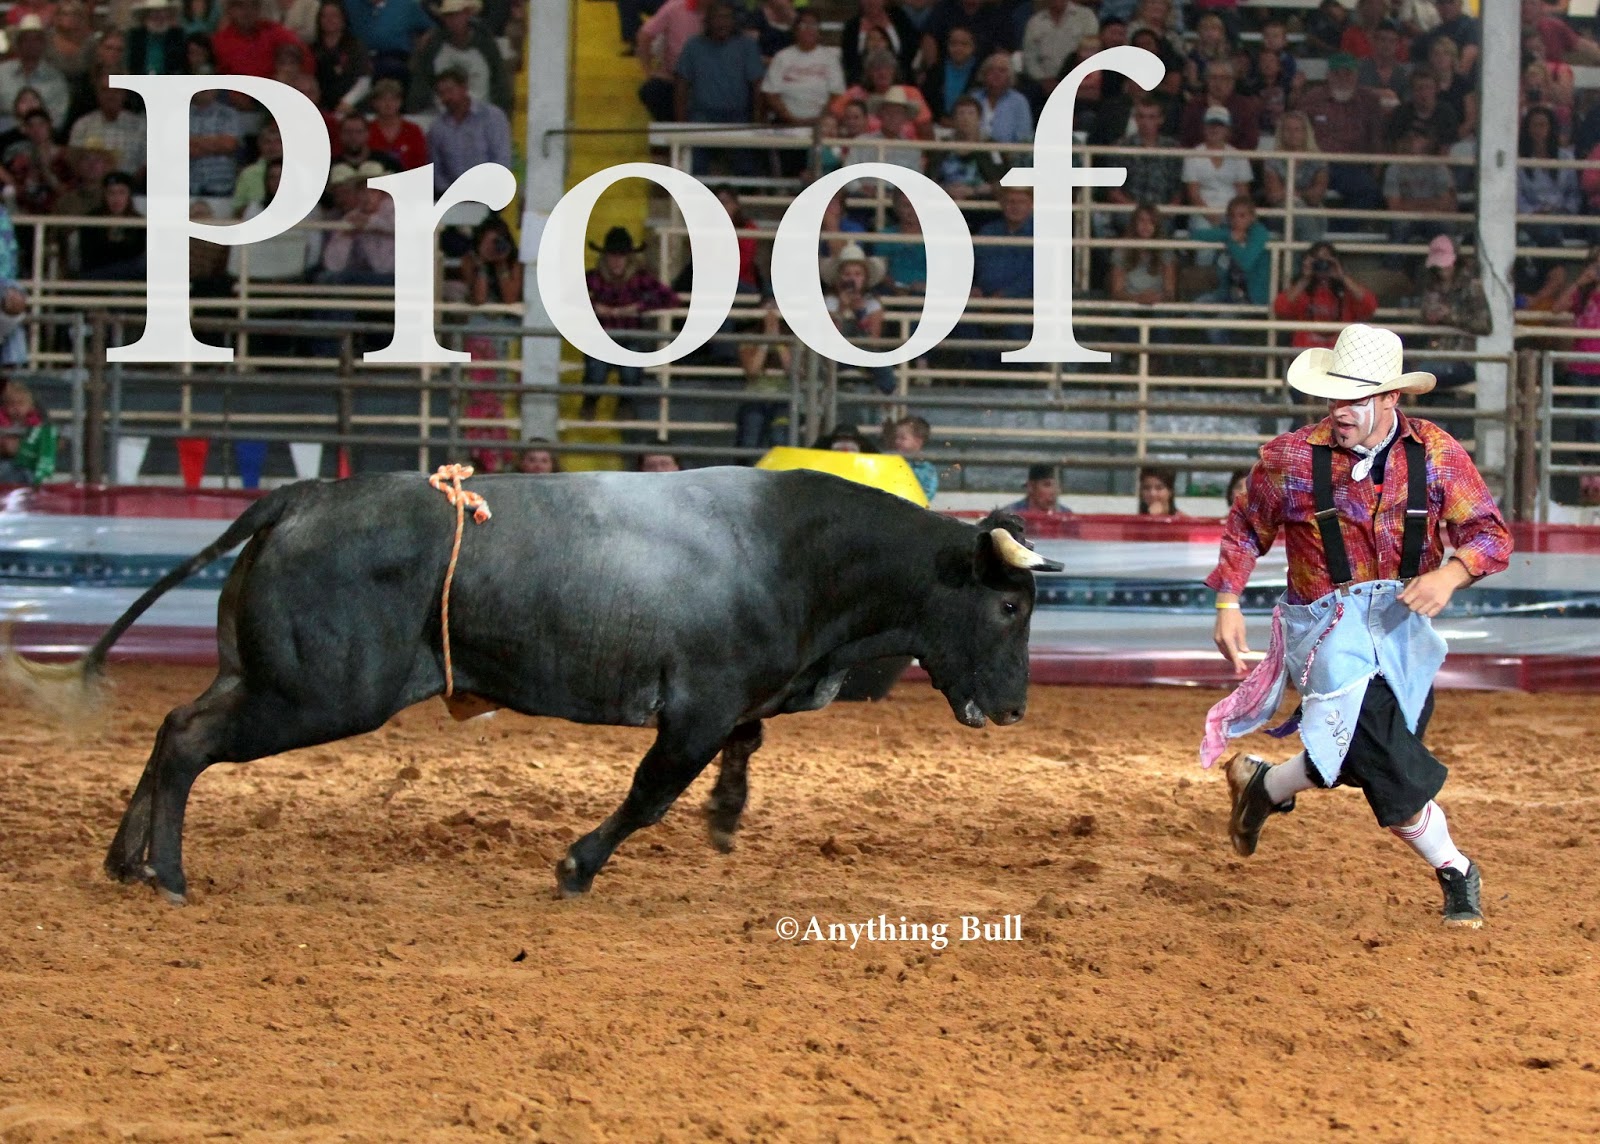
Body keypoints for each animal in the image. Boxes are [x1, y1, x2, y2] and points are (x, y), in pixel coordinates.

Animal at [6, 467, 1062, 904]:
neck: (802, 551)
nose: (1016, 706)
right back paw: (170, 875)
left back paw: (126, 862)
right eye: (1012, 608)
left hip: (262, 674)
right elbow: (650, 795)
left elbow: (745, 746)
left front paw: (726, 816)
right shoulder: (695, 708)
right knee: (188, 740)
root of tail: (303, 498)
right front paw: (576, 866)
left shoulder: (734, 701)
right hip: (315, 692)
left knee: (173, 725)